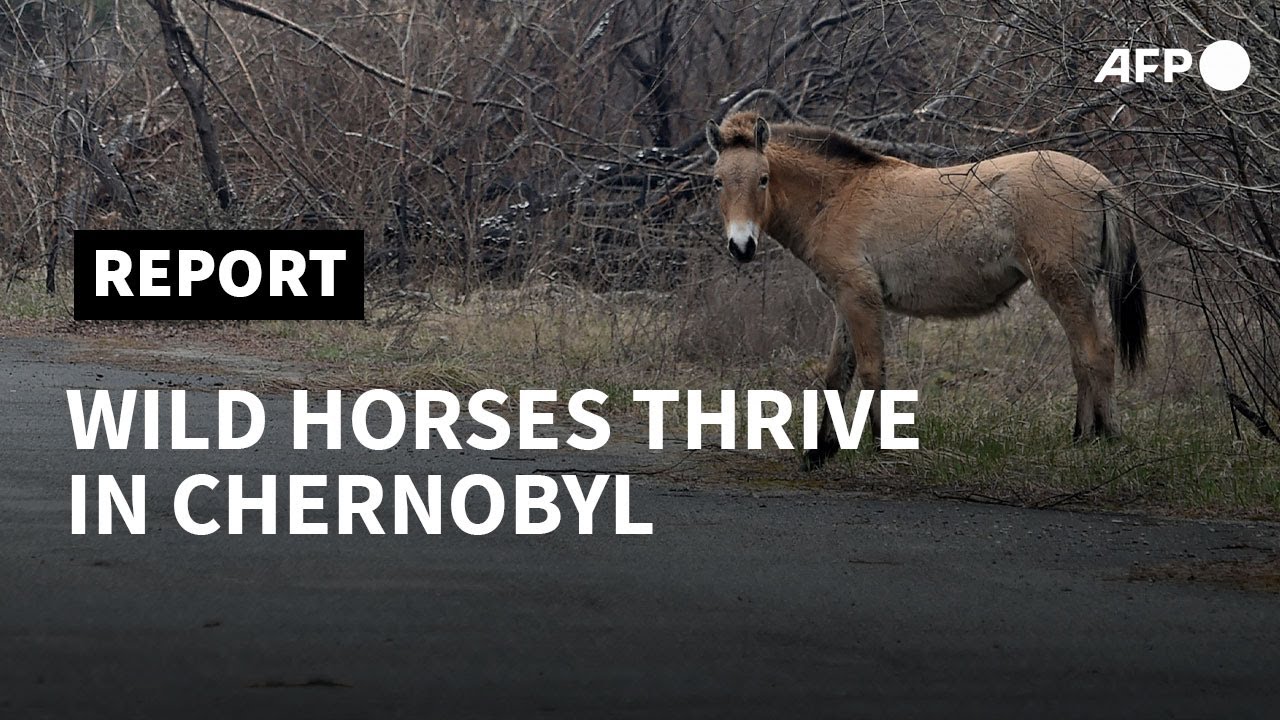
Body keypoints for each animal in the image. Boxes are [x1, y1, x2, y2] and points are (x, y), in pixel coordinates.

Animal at [705, 112, 1147, 469]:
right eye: (718, 182)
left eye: (763, 180)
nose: (741, 247)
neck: (837, 196)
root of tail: (1100, 183)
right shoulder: (843, 303)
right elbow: (836, 375)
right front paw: (819, 452)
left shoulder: (860, 299)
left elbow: (871, 371)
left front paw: (881, 445)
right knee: (1082, 359)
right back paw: (1082, 435)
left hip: (1065, 287)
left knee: (1095, 353)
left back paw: (1104, 437)